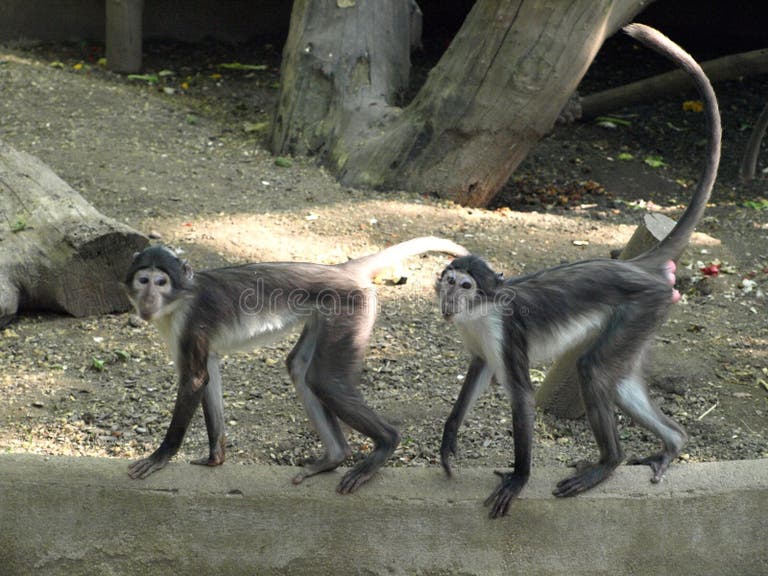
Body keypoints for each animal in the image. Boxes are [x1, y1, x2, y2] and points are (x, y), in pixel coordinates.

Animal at [124, 236, 468, 494]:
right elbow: (207, 375)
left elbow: (194, 378)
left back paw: (385, 443)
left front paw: (161, 455)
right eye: (144, 281)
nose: (148, 299)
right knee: (300, 370)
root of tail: (341, 270)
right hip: (326, 313)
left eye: (160, 282)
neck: (180, 298)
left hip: (348, 308)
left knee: (324, 380)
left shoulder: (190, 320)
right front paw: (214, 458)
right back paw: (334, 457)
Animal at [435, 23, 721, 518]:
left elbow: (521, 398)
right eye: (449, 282)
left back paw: (609, 463)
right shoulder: (477, 336)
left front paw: (519, 478)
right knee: (618, 379)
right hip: (646, 316)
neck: (478, 312)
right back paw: (671, 443)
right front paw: (450, 440)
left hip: (642, 307)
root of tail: (636, 267)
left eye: (466, 285)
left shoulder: (502, 329)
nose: (450, 298)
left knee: (594, 370)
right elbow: (477, 372)